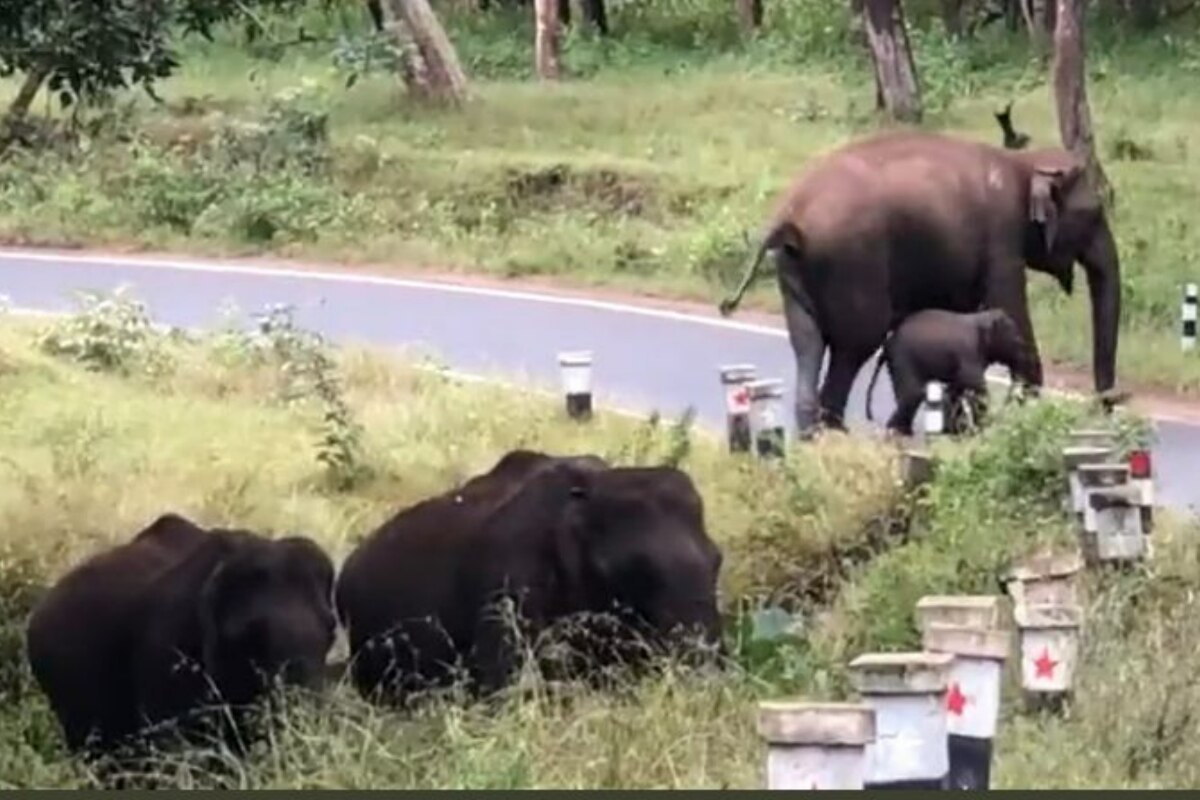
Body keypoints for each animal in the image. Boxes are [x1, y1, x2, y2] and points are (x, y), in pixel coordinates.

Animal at [865, 307, 1032, 436]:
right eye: (1017, 341)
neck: (982, 317)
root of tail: (887, 345)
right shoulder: (969, 353)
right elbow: (975, 386)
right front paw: (979, 429)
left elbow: (956, 388)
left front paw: (955, 431)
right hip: (904, 360)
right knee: (913, 394)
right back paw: (896, 430)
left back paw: (903, 431)